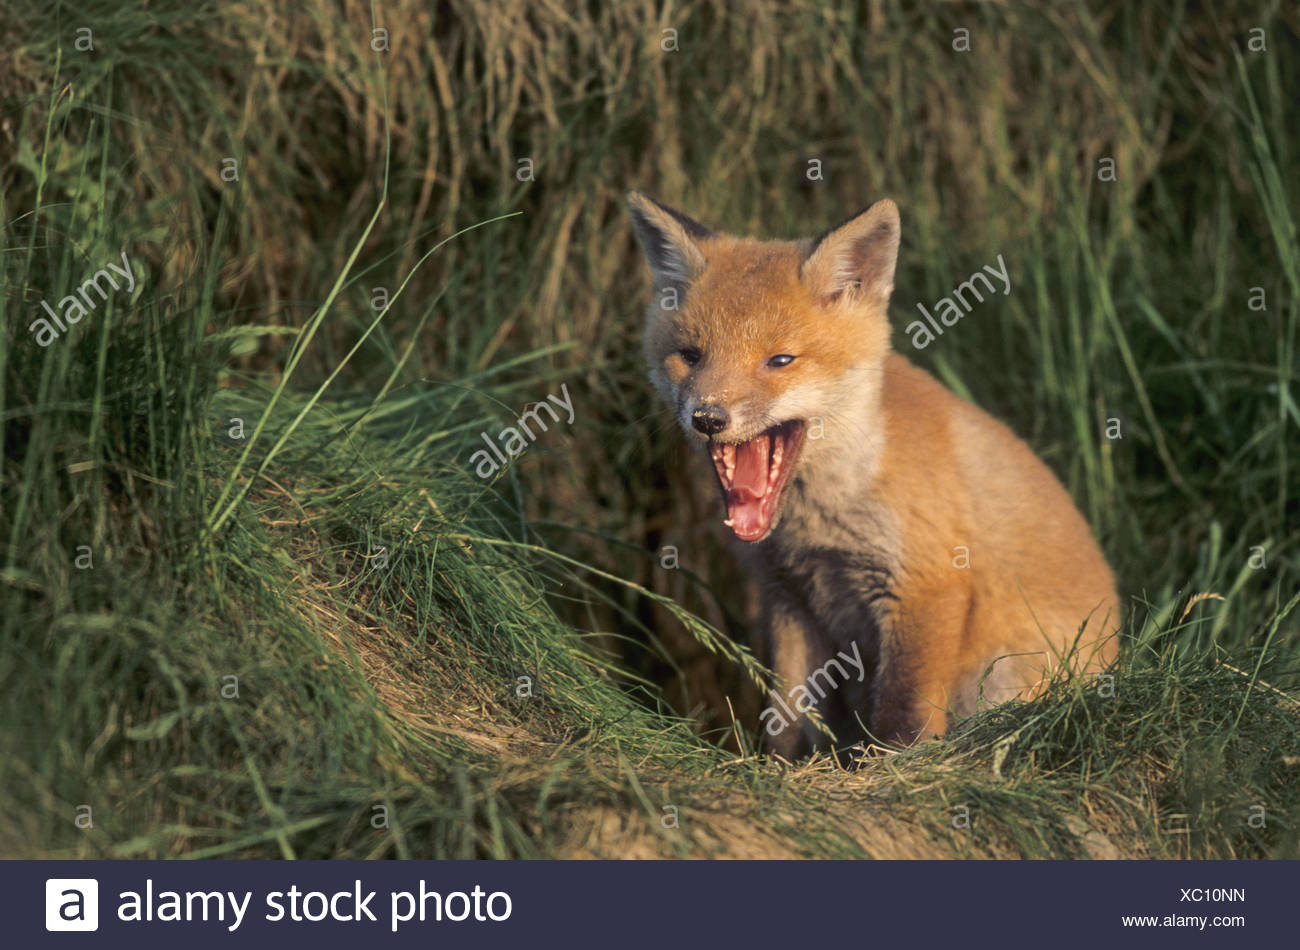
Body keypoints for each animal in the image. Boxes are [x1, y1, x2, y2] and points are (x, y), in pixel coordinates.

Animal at [627, 191, 1119, 759]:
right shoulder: (790, 595)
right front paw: (781, 767)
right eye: (691, 356)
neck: (819, 522)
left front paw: (895, 766)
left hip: (999, 674)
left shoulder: (926, 585)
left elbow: (903, 715)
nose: (707, 418)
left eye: (780, 360)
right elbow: (788, 711)